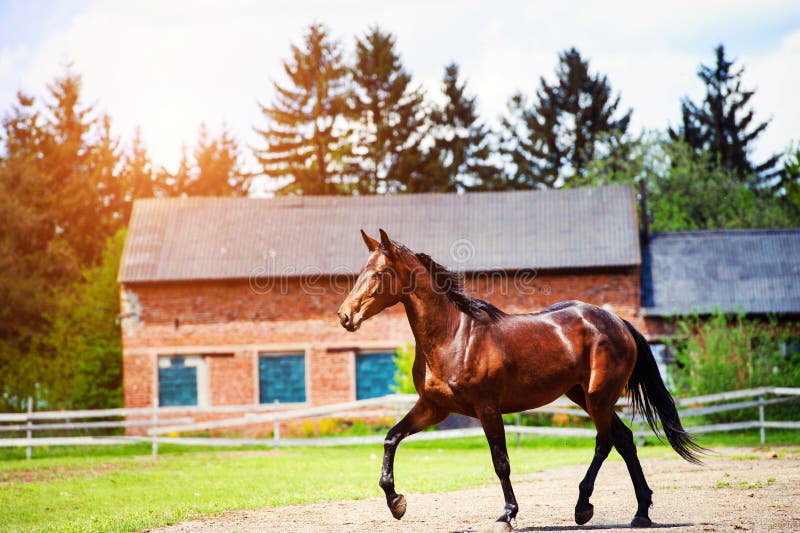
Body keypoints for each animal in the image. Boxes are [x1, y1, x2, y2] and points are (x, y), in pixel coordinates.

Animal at [337, 229, 703, 530]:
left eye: (380, 273)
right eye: (360, 272)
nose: (345, 316)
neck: (453, 336)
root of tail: (618, 322)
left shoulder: (487, 408)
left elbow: (501, 462)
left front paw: (507, 514)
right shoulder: (433, 408)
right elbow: (391, 438)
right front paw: (396, 502)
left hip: (598, 397)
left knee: (605, 442)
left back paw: (583, 507)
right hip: (583, 396)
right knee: (624, 439)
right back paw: (641, 513)